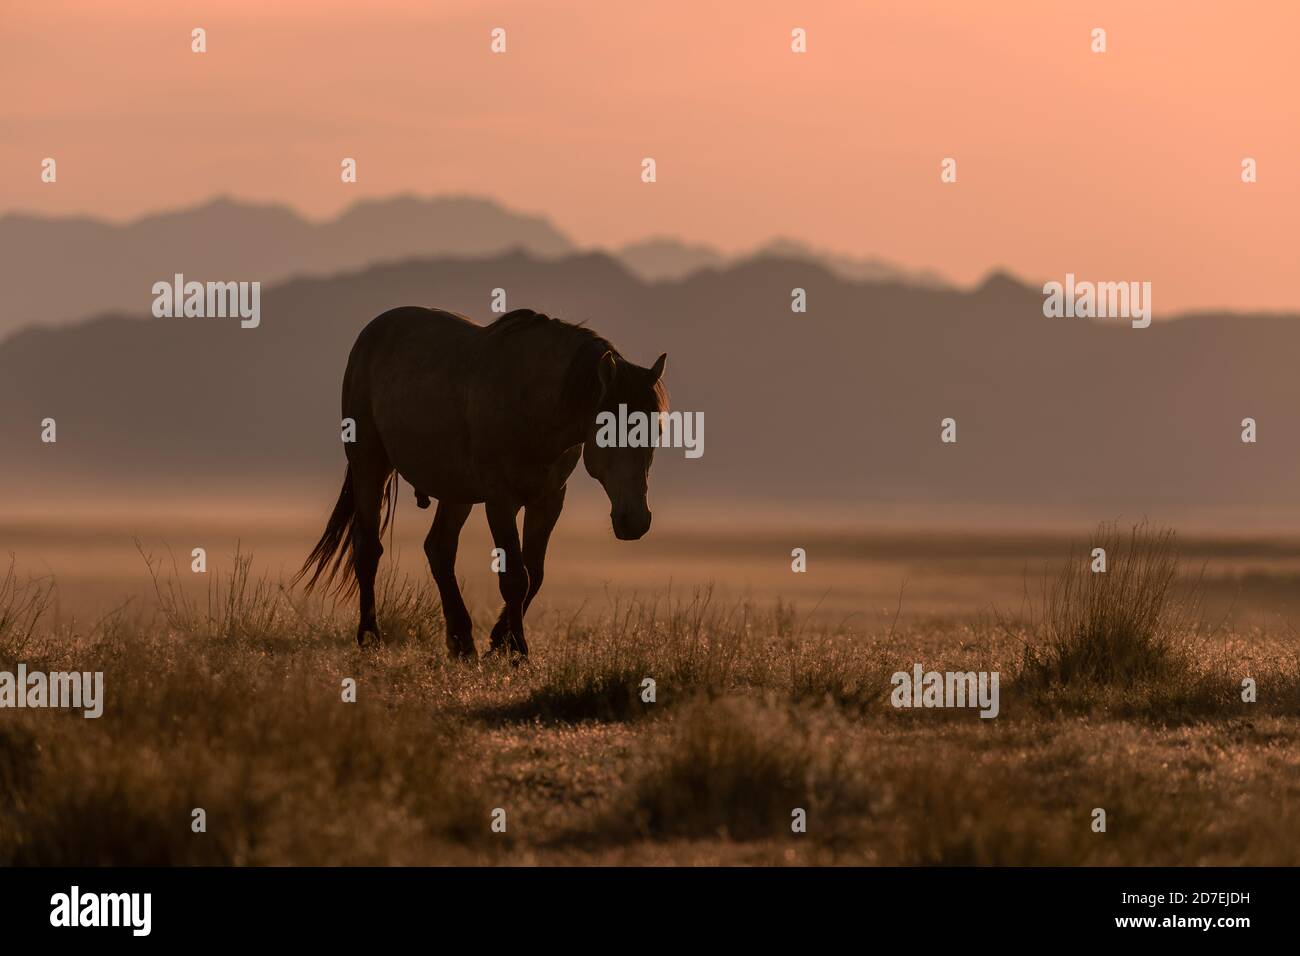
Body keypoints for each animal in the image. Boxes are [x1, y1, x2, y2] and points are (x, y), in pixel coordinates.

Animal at [295, 306, 668, 658]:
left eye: (658, 431)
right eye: (607, 431)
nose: (635, 521)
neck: (533, 405)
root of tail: (371, 334)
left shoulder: (548, 500)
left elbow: (535, 572)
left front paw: (500, 641)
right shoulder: (500, 501)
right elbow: (516, 577)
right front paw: (517, 651)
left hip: (455, 492)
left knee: (439, 549)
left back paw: (461, 642)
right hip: (370, 467)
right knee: (368, 549)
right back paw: (371, 637)